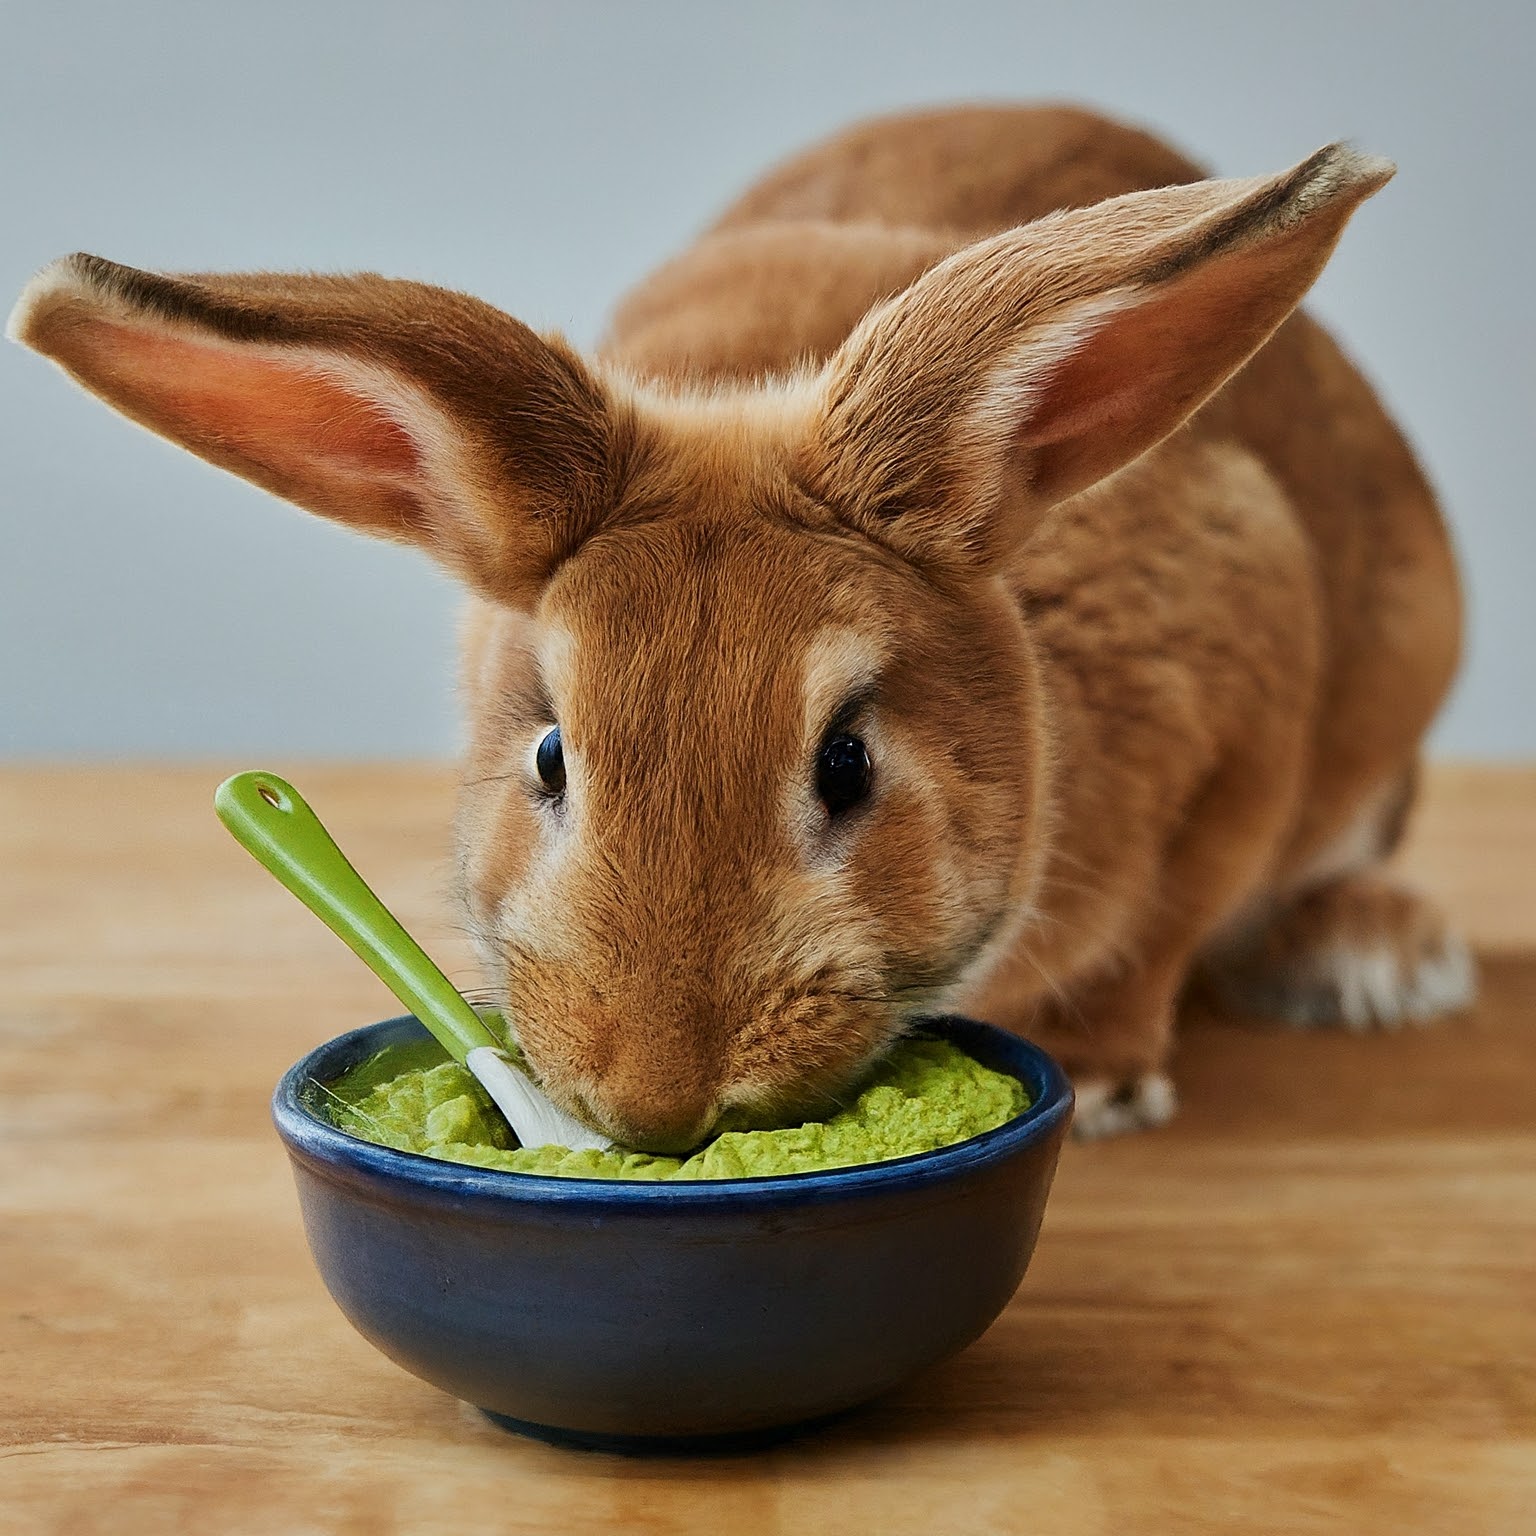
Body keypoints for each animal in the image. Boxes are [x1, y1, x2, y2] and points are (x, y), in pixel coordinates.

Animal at [9, 104, 1470, 1147]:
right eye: (550, 758)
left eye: (848, 765)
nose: (658, 1105)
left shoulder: (1240, 729)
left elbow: (1161, 935)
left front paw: (1109, 1083)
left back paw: (1377, 962)